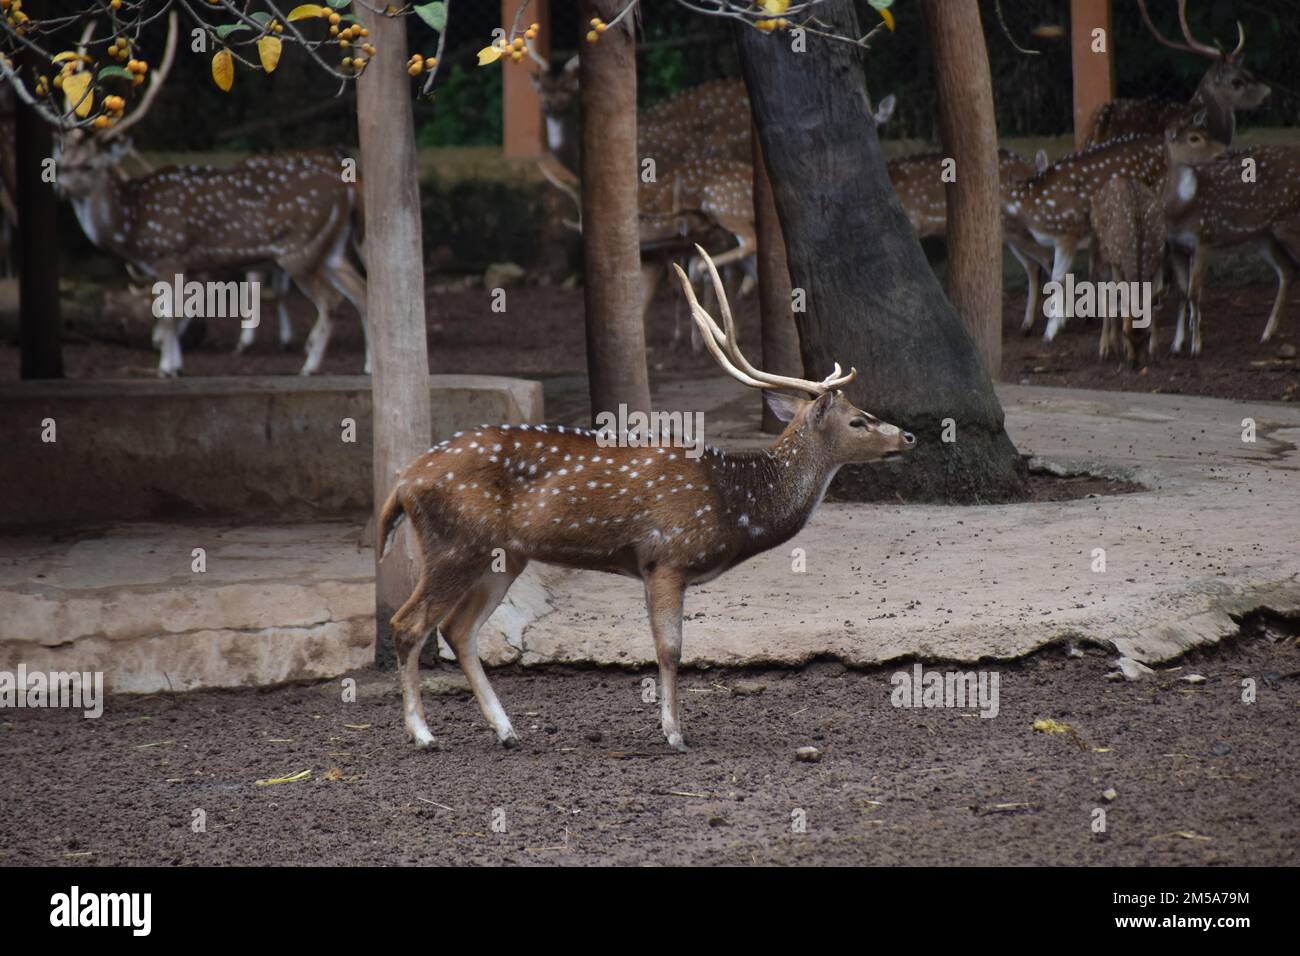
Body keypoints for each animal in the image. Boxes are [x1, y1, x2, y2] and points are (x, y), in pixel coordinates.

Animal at [51, 14, 367, 377]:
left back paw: (309, 365)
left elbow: (169, 312)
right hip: (330, 248)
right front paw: (172, 360)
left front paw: (167, 367)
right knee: (361, 291)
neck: (132, 225)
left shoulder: (170, 253)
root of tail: (347, 183)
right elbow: (174, 309)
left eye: (88, 166)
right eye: (60, 163)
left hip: (300, 248)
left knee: (331, 300)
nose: (58, 188)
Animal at [378, 246, 915, 752]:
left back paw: (507, 731)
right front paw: (674, 733)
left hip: (504, 556)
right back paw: (423, 734)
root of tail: (403, 482)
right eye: (858, 420)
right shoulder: (666, 557)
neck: (735, 503)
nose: (908, 436)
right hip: (454, 544)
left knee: (459, 629)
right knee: (409, 623)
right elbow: (670, 648)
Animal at [1161, 126, 1300, 356]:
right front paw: (1176, 345)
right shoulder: (1175, 247)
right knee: (1287, 270)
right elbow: (1182, 293)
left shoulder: (1205, 238)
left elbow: (1194, 292)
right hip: (1263, 234)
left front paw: (1196, 346)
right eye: (1194, 138)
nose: (1224, 151)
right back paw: (1266, 334)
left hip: (1288, 222)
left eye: (1205, 132)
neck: (1181, 209)